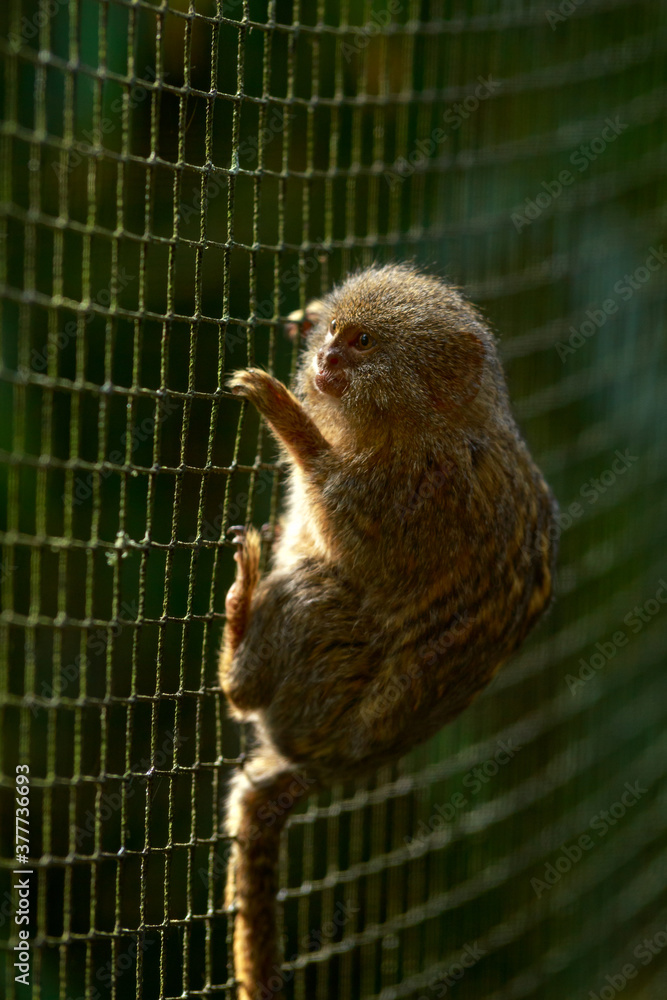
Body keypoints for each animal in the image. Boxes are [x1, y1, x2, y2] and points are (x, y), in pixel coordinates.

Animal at [219, 263, 558, 1000]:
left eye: (363, 343)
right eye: (335, 333)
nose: (324, 359)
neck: (430, 424)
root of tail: (322, 763)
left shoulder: (419, 495)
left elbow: (345, 528)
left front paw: (286, 414)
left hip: (315, 699)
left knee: (314, 597)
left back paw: (241, 628)